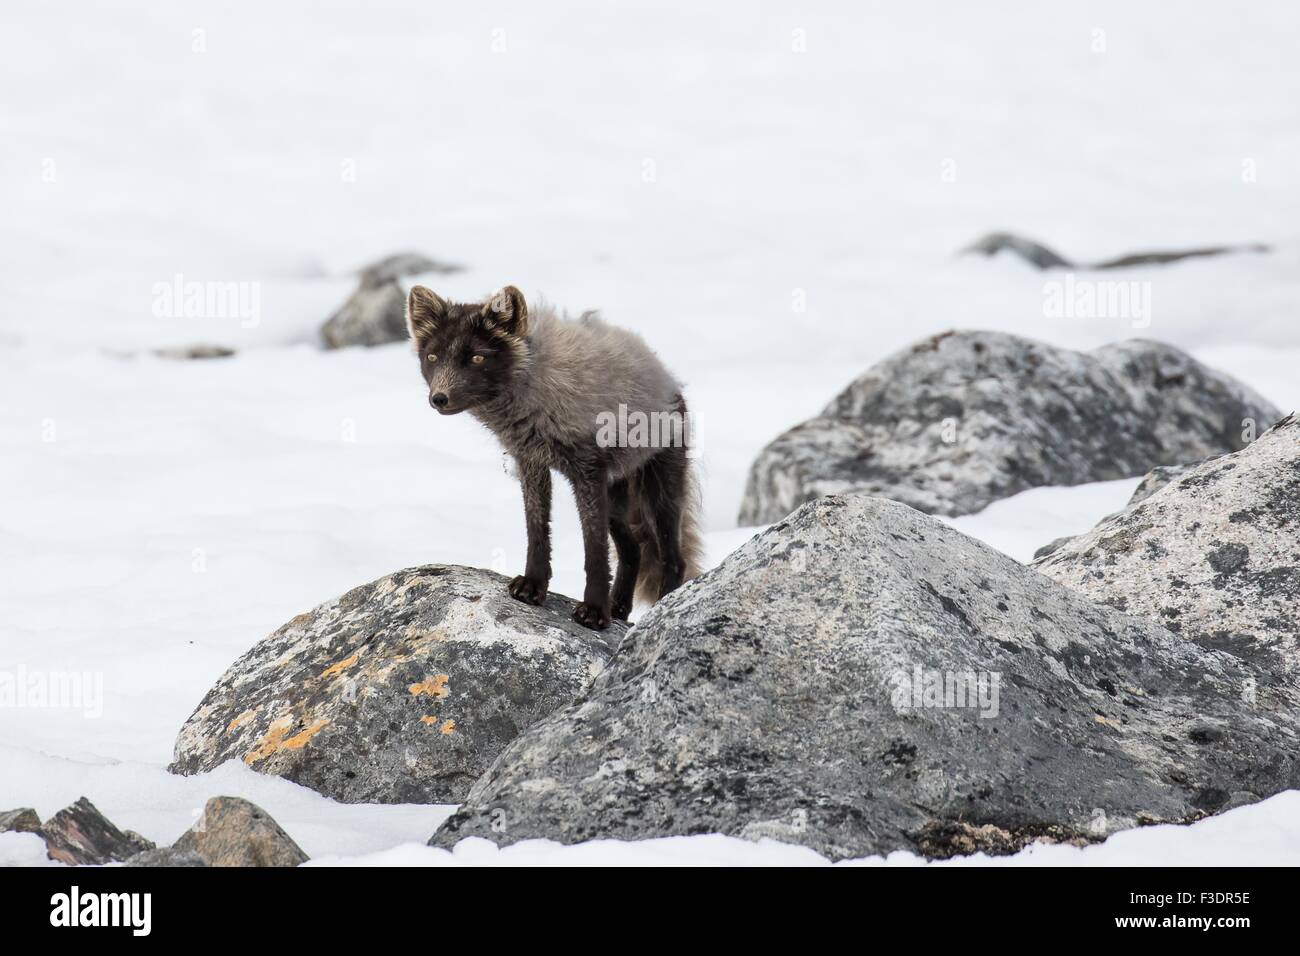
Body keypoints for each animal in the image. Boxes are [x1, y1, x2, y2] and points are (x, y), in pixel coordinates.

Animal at [405, 284, 702, 629]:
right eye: (432, 357)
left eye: (477, 358)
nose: (439, 399)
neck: (534, 388)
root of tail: (670, 383)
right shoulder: (532, 463)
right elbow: (536, 530)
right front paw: (533, 587)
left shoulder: (587, 471)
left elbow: (594, 549)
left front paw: (594, 611)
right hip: (616, 500)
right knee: (633, 550)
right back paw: (618, 609)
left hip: (658, 494)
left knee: (673, 560)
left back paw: (659, 608)